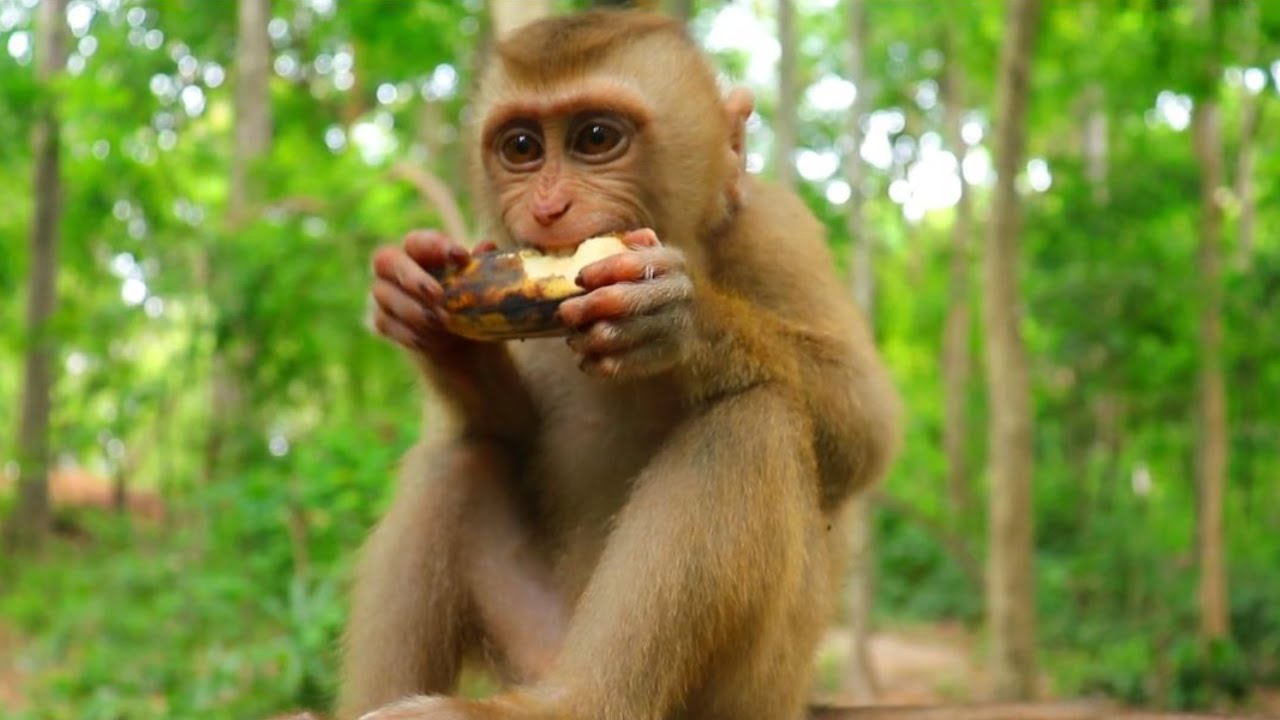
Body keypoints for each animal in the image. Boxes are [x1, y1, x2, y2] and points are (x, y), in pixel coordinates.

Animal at [344, 10, 899, 720]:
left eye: (596, 138)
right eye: (521, 148)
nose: (549, 208)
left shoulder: (778, 227)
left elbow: (865, 425)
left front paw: (678, 318)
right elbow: (507, 431)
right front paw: (425, 313)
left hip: (748, 692)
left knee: (755, 418)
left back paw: (573, 703)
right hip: (531, 636)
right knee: (462, 457)